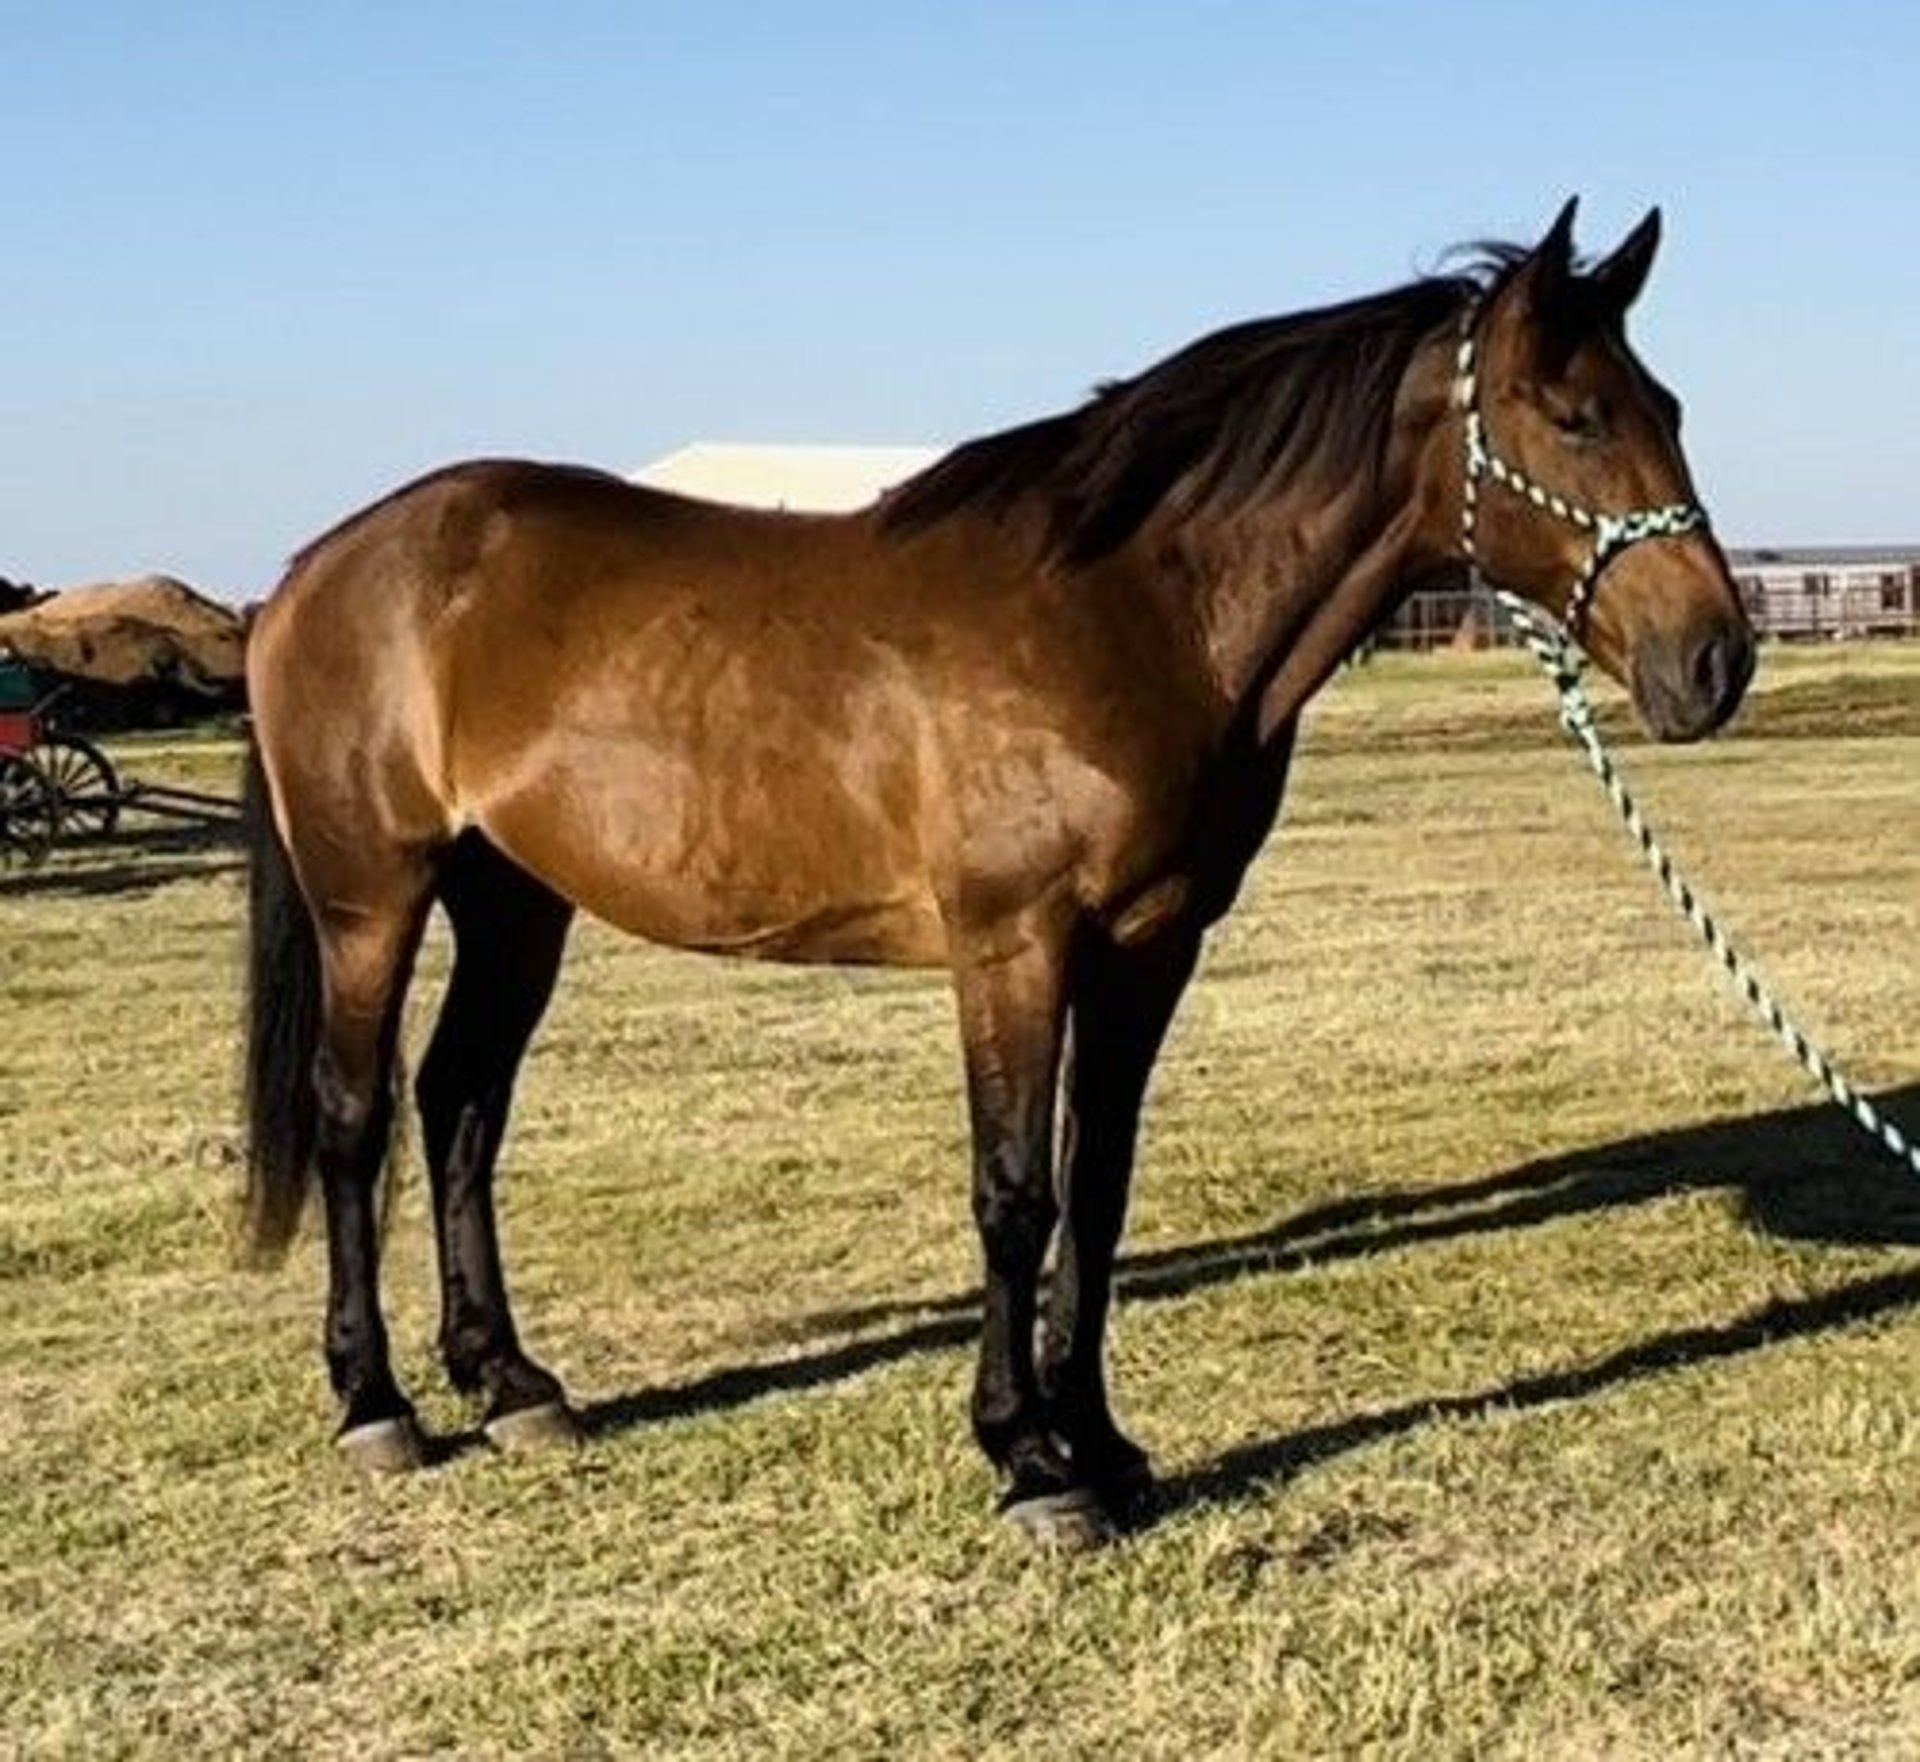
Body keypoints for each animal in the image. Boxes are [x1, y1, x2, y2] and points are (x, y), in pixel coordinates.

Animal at [241, 200, 1754, 1547]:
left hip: (515, 901)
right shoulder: (1014, 944)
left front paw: (1105, 1441)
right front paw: (1030, 1461)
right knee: (356, 1115)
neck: (1134, 607)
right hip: (373, 897)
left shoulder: (1152, 947)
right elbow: (1015, 1190)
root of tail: (312, 568)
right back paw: (378, 1405)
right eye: (1574, 417)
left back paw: (512, 1383)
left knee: (461, 1104)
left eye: (1674, 406)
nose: (1715, 660)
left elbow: (1100, 1184)